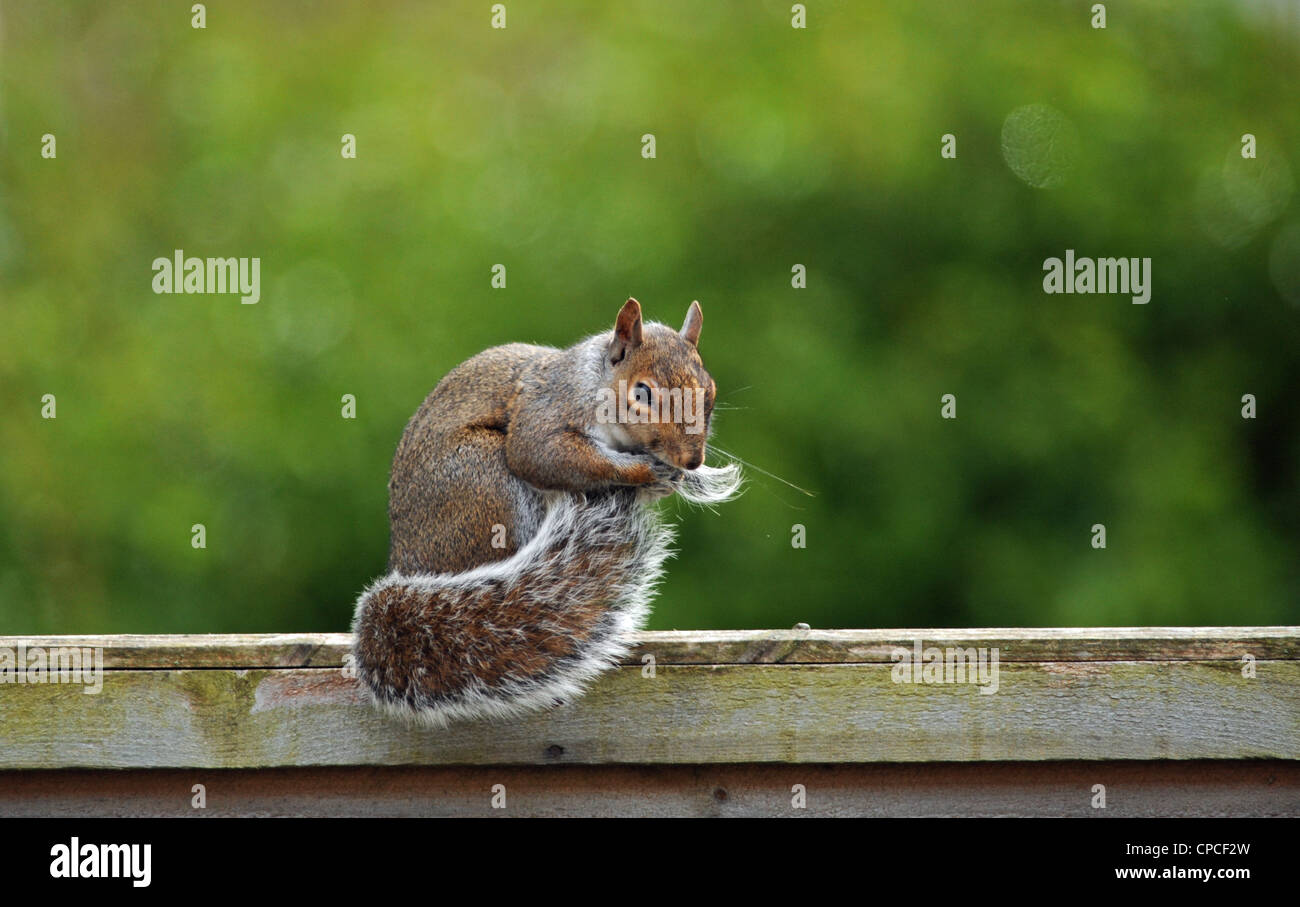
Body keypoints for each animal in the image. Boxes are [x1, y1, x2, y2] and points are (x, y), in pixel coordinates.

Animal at [350, 298, 741, 727]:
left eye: (710, 392)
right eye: (642, 392)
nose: (691, 460)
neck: (595, 385)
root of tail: (408, 563)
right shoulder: (547, 413)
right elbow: (542, 454)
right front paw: (646, 470)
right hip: (486, 482)